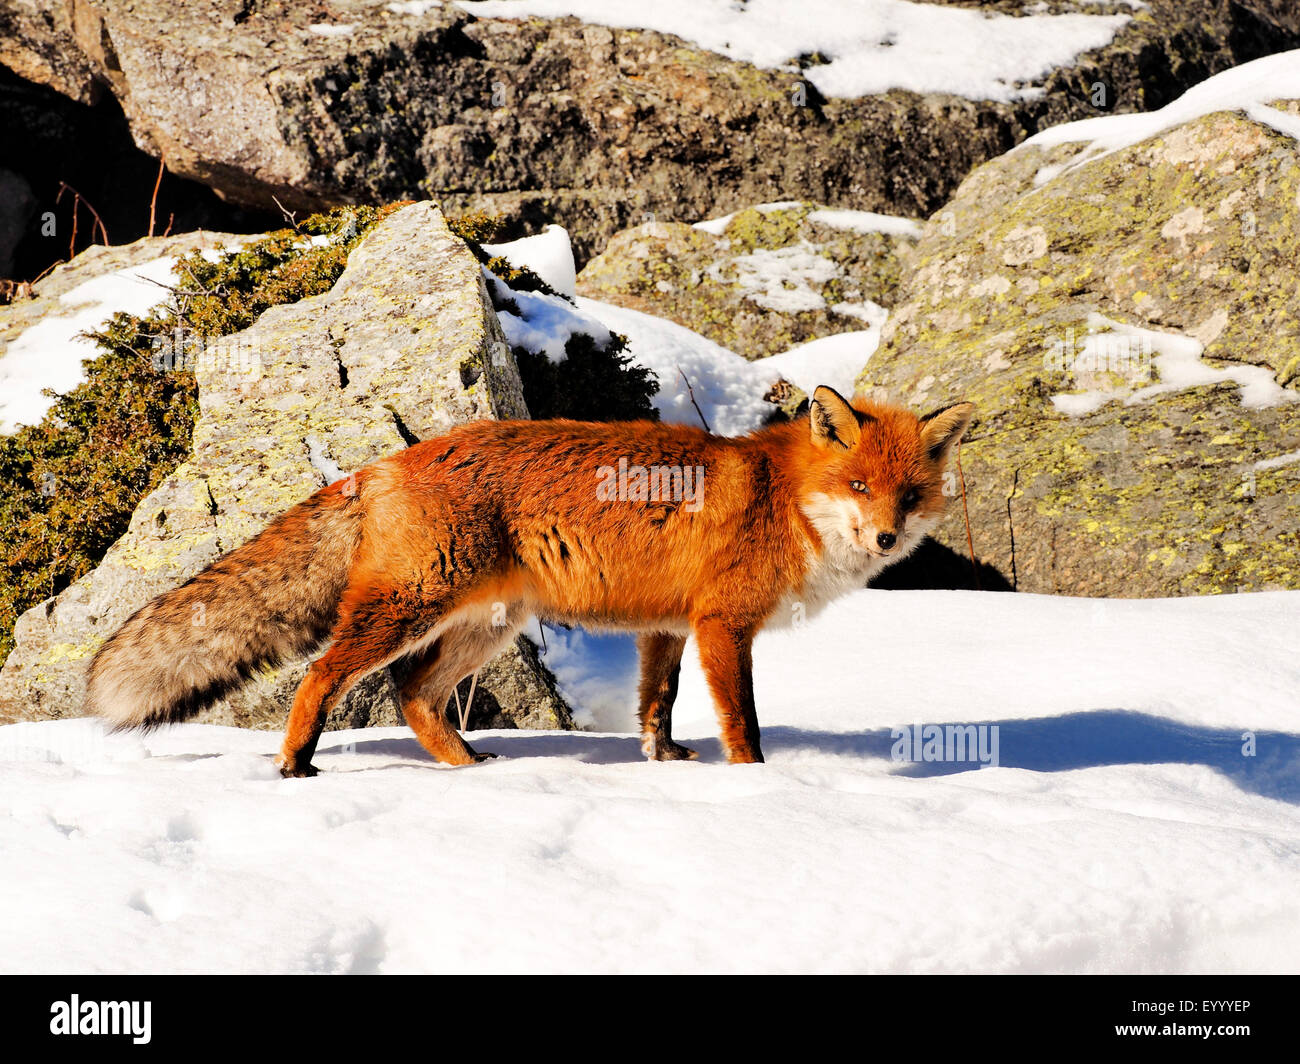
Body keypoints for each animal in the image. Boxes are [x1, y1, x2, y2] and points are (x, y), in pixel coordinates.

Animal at [86, 387, 973, 775]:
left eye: (908, 493)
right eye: (858, 486)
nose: (888, 535)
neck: (782, 498)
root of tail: (385, 462)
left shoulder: (668, 626)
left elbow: (656, 704)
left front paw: (667, 762)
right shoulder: (724, 625)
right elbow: (743, 723)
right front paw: (757, 784)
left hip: (484, 627)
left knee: (411, 693)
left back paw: (469, 769)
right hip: (410, 611)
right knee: (323, 674)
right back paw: (297, 763)